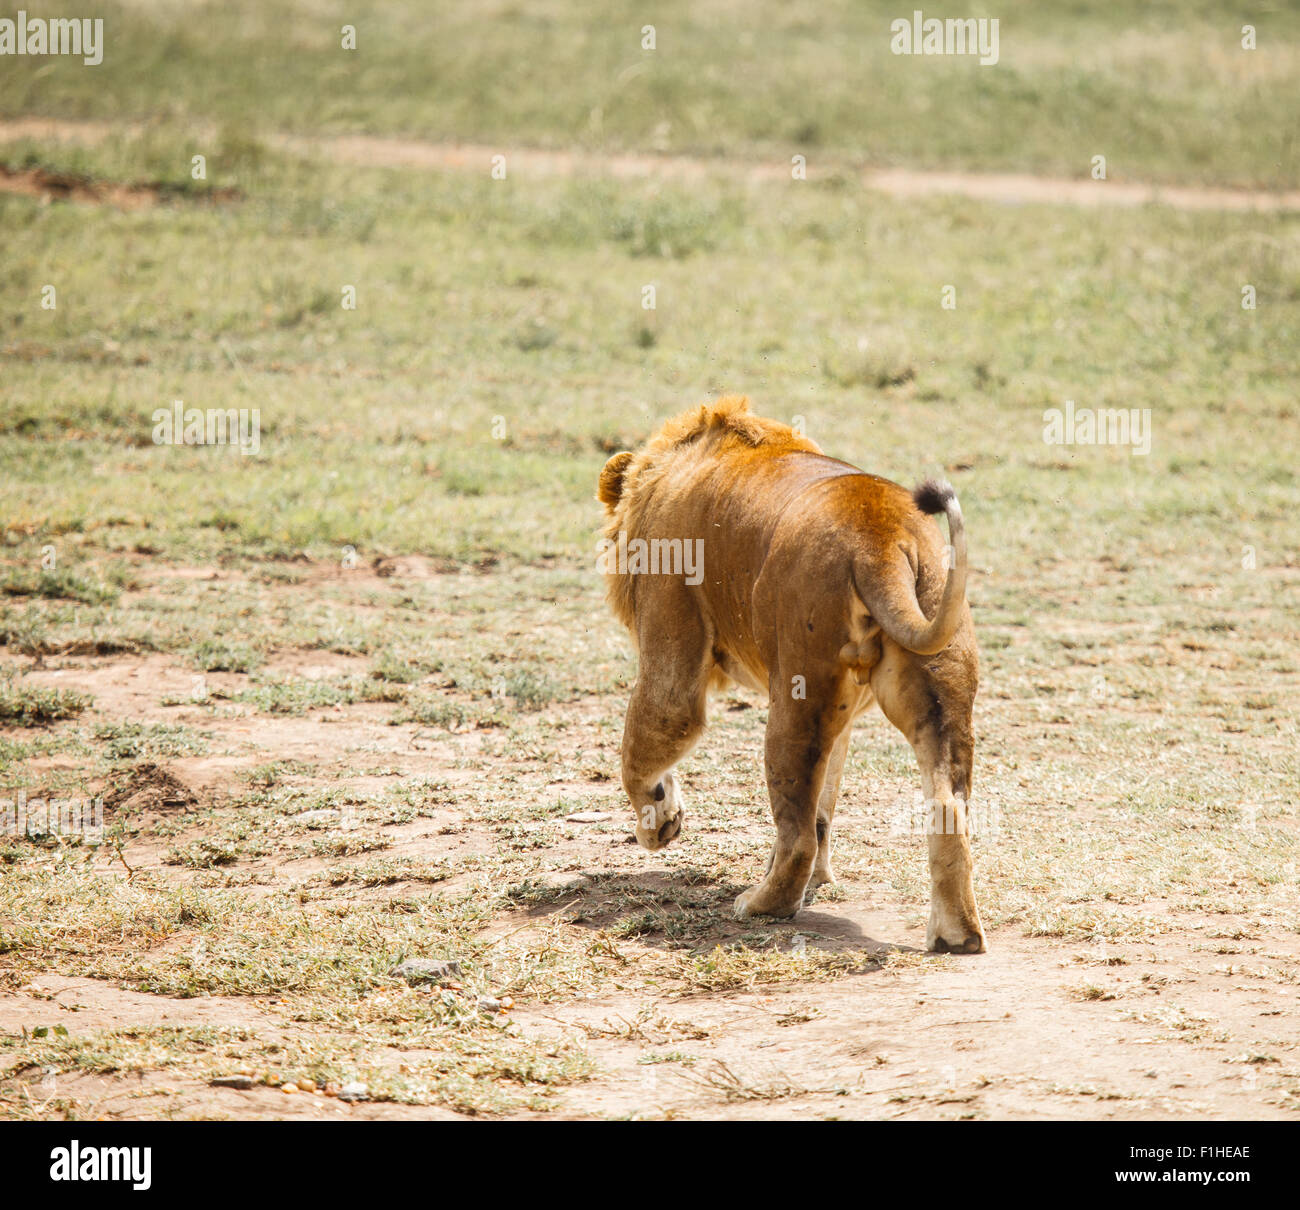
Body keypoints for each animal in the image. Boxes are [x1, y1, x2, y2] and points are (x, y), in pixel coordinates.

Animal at [597, 396, 985, 953]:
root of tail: (880, 538)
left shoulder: (671, 636)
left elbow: (645, 744)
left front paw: (659, 823)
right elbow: (828, 796)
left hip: (795, 698)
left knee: (798, 832)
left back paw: (761, 904)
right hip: (938, 682)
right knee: (945, 806)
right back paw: (956, 935)